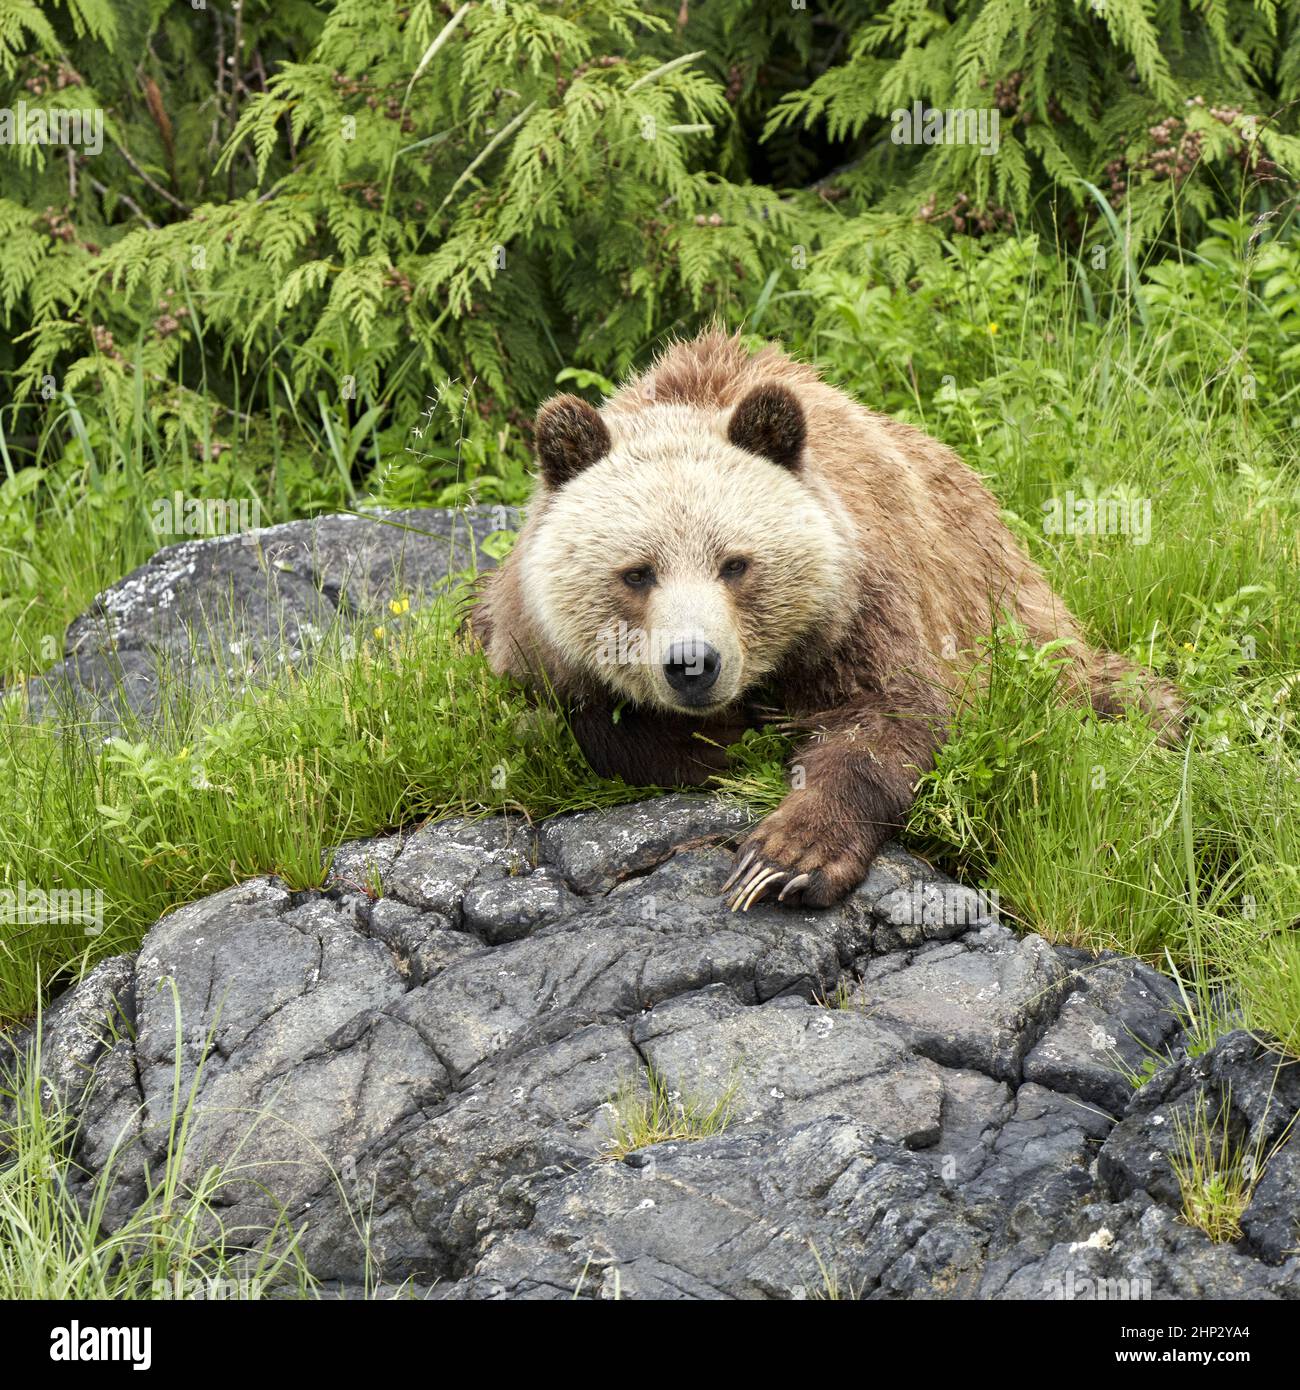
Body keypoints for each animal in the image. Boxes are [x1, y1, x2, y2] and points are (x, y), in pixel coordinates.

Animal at [472, 330, 1184, 906]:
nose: (694, 665)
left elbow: (888, 718)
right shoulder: (530, 640)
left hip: (1010, 605)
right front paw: (719, 744)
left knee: (1092, 684)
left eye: (736, 564)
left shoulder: (866, 604)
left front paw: (783, 859)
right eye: (637, 572)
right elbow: (585, 720)